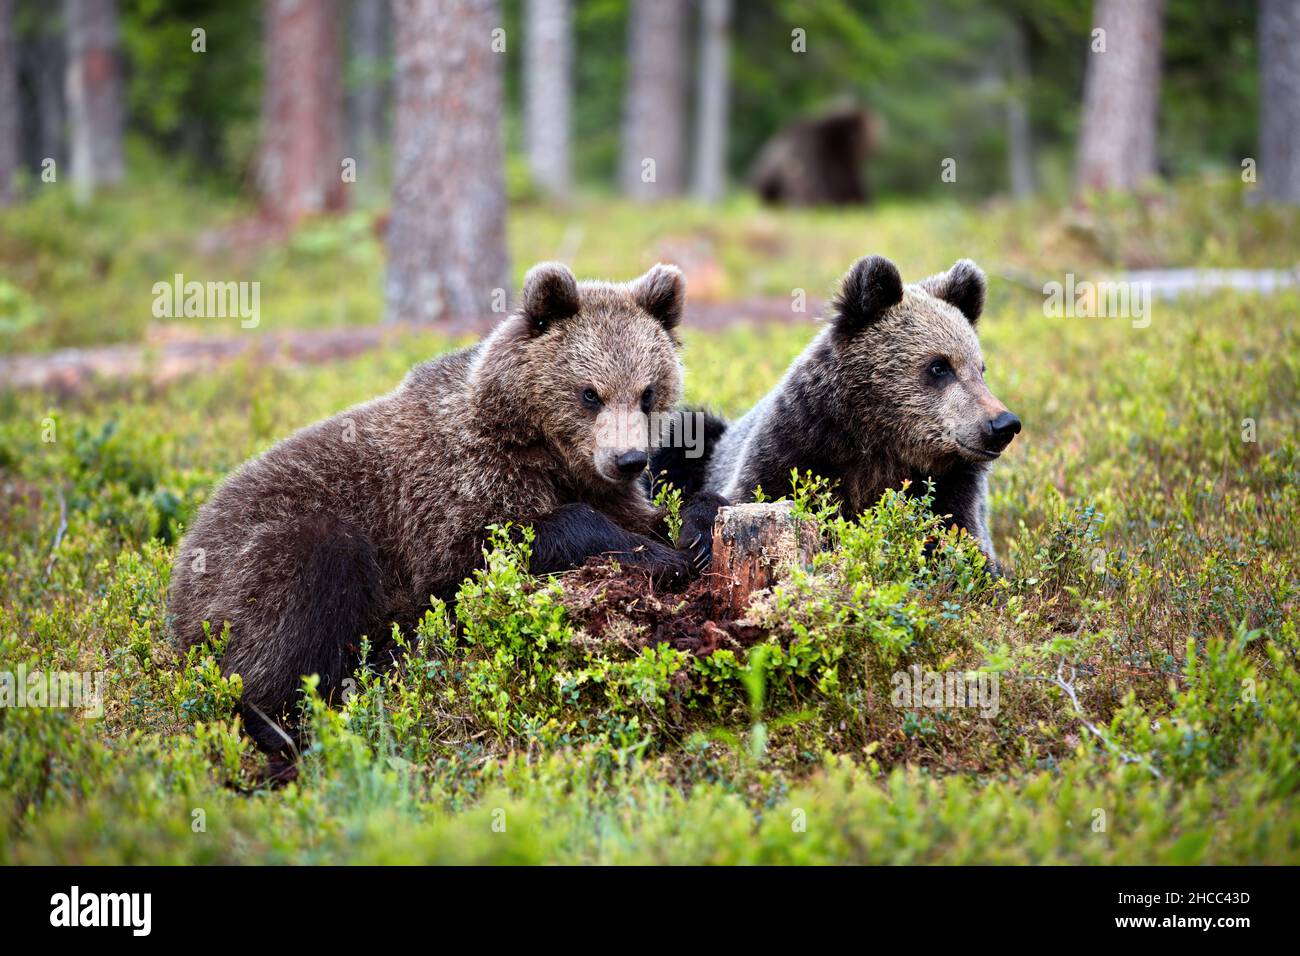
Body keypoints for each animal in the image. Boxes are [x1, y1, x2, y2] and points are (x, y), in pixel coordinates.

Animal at [169, 262, 720, 758]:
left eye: (647, 392)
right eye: (590, 393)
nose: (629, 459)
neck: (540, 447)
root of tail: (178, 576)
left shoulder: (598, 486)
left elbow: (653, 512)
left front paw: (694, 534)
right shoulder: (452, 485)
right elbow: (482, 548)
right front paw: (659, 558)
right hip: (244, 568)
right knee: (303, 587)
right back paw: (285, 732)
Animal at [651, 255, 1021, 569]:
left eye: (980, 368)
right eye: (939, 366)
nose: (1003, 424)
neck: (880, 441)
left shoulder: (951, 486)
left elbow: (964, 549)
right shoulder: (795, 448)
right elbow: (746, 492)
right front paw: (698, 537)